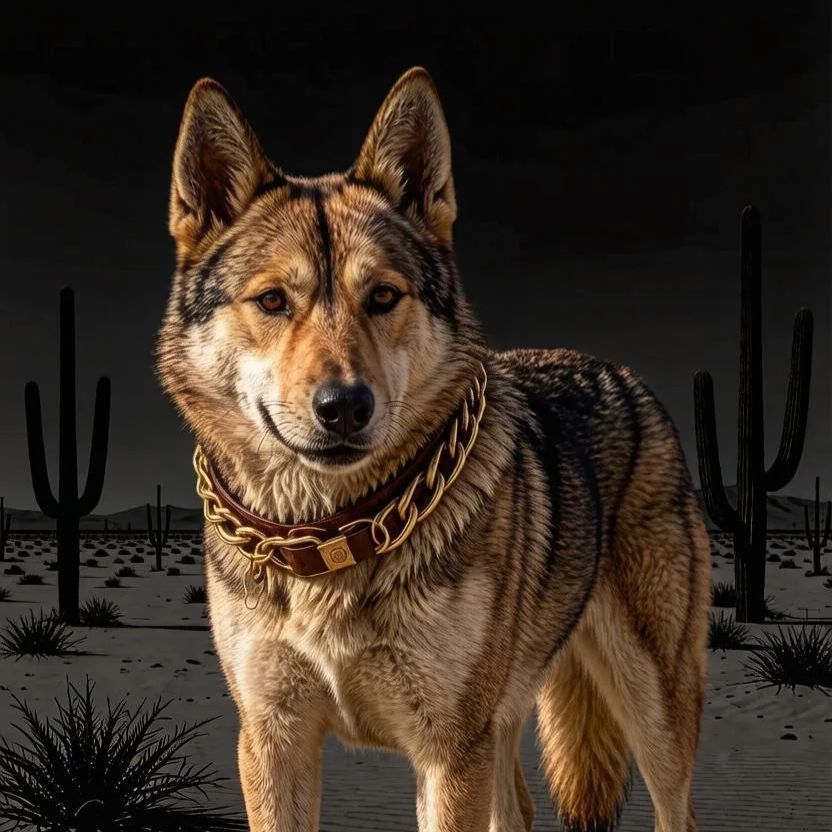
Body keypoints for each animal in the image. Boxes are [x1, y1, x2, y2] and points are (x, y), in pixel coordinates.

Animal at [156, 67, 710, 832]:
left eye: (383, 296)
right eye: (272, 302)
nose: (344, 406)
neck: (334, 534)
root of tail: (622, 374)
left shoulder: (447, 753)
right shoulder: (273, 738)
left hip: (649, 706)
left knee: (675, 808)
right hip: (505, 724)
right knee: (522, 809)